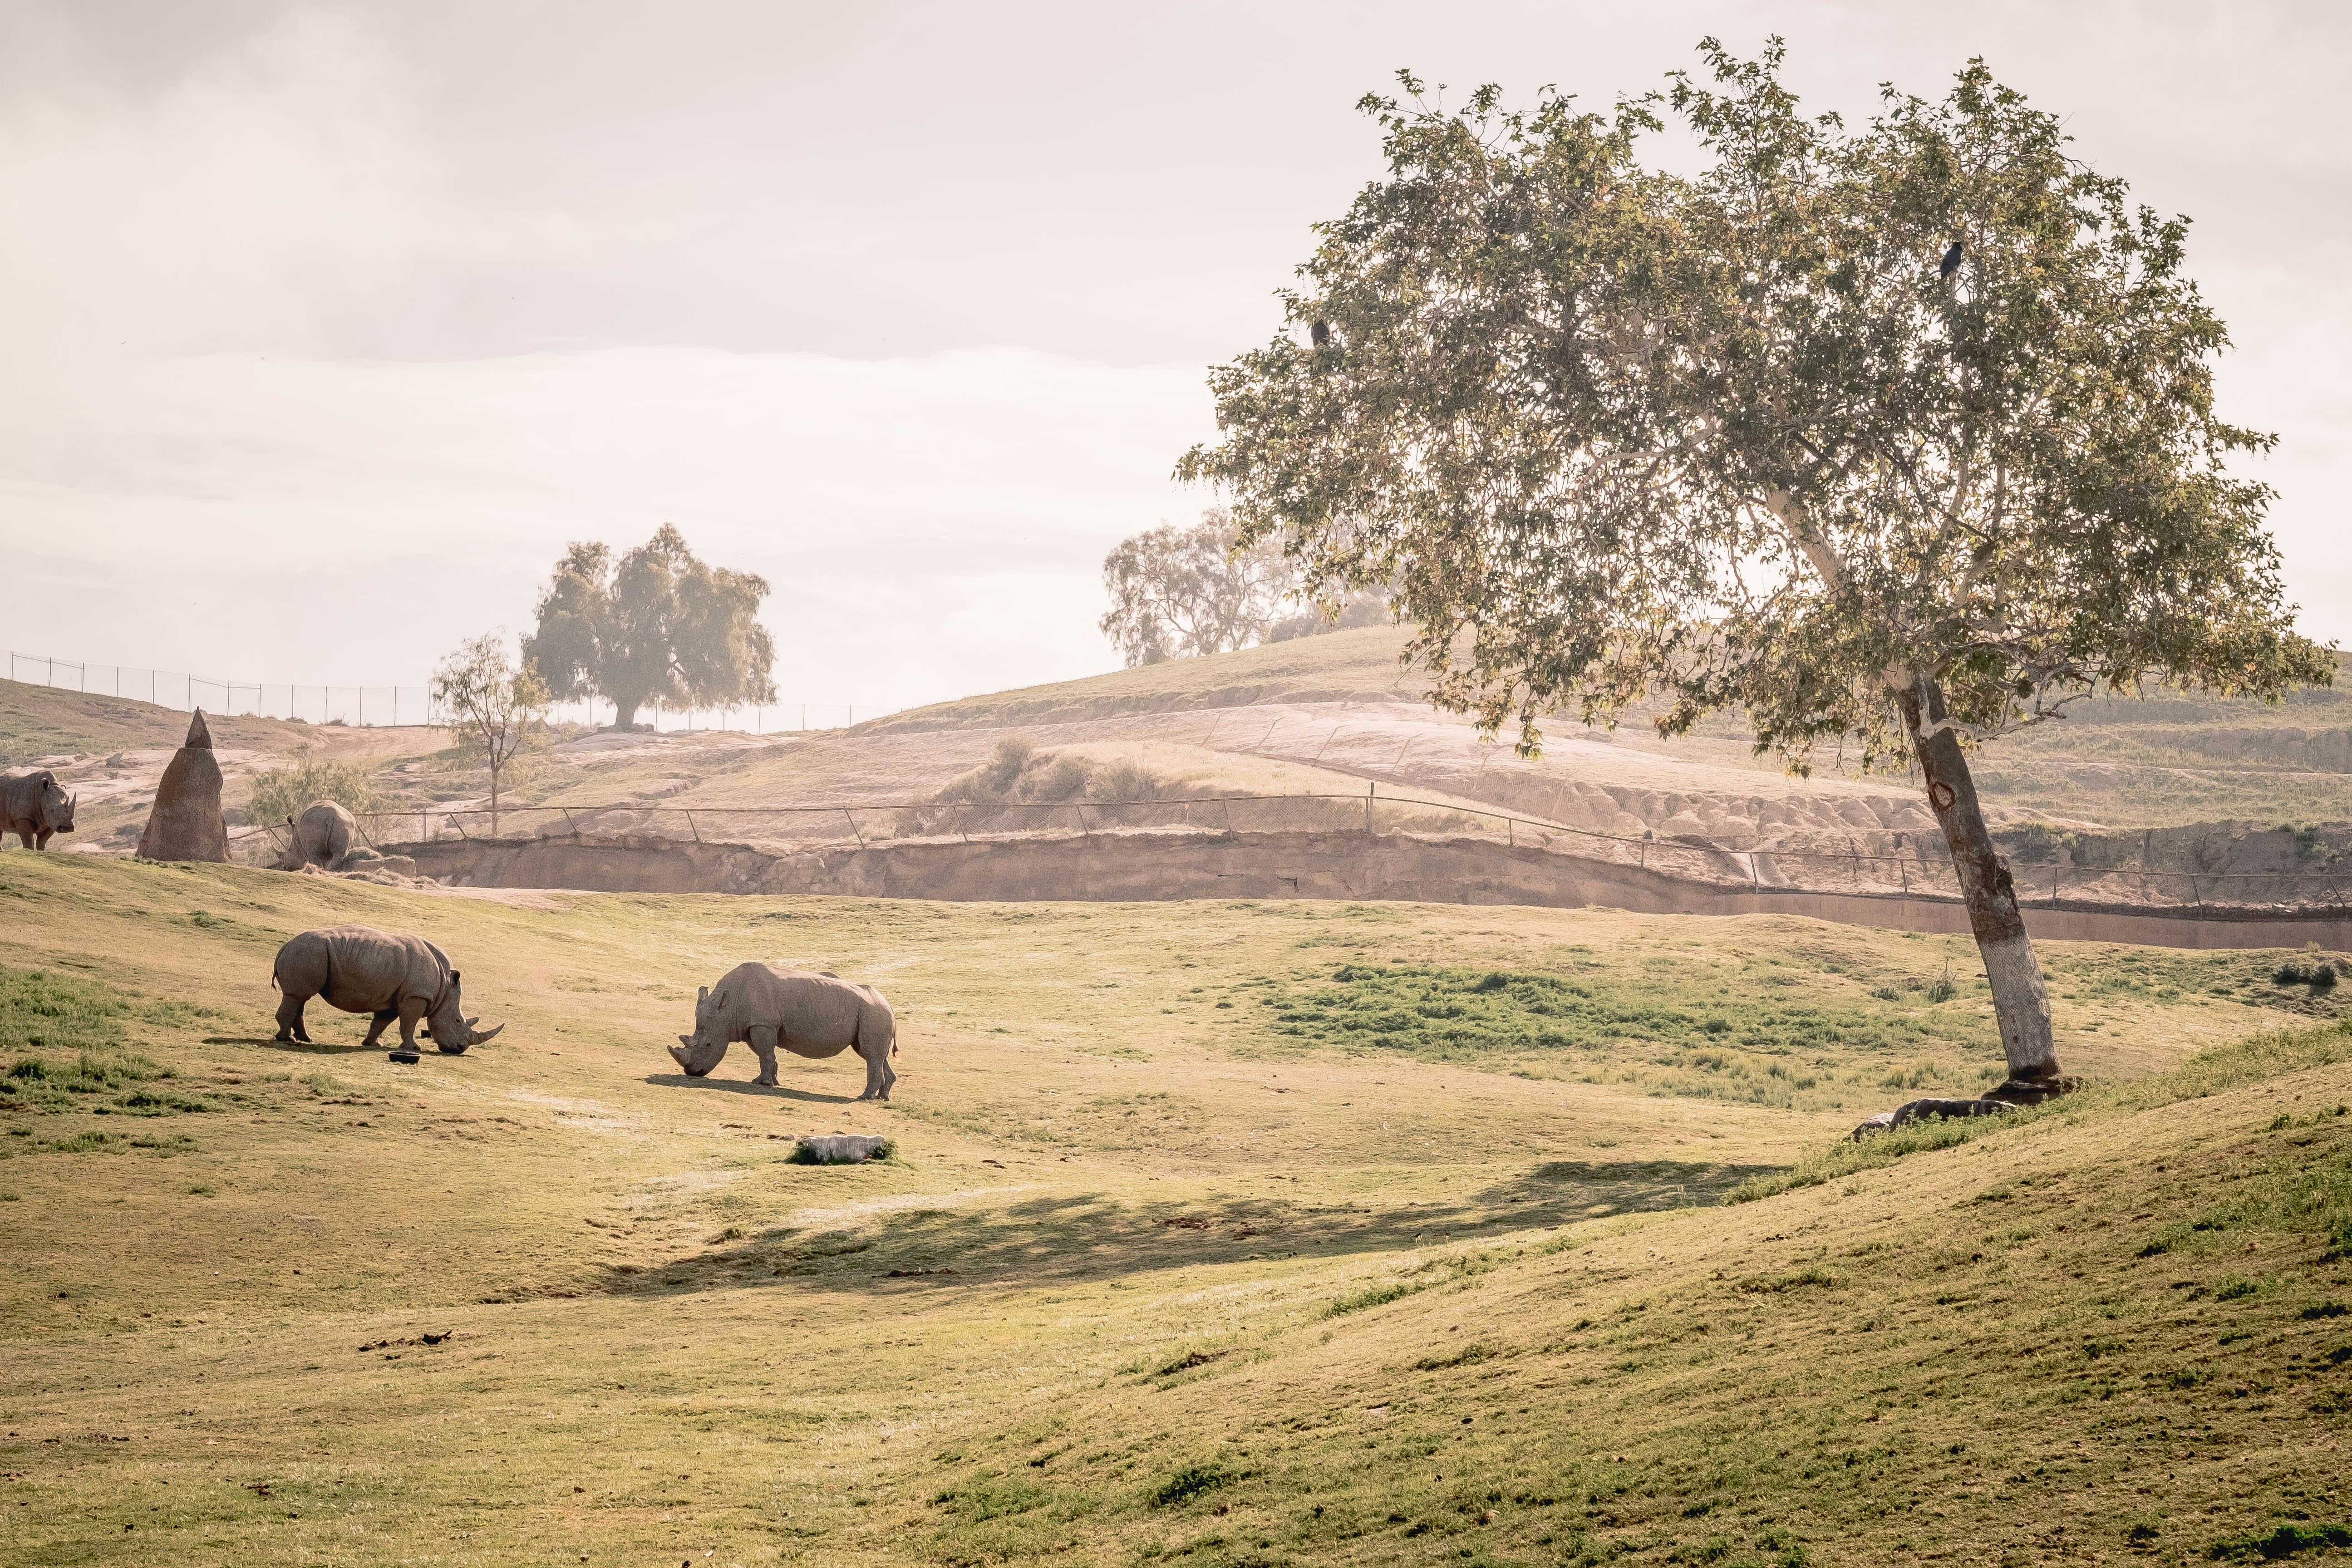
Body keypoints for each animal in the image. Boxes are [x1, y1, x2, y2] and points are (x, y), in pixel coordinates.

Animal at [2, 770, 76, 849]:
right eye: (52, 811)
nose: (67, 828)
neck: (41, 794)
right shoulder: (22, 817)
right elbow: (28, 841)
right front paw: (29, 850)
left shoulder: (51, 822)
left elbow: (42, 841)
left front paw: (41, 851)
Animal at [271, 800, 357, 871]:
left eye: (289, 850)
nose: (285, 867)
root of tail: (330, 816)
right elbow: (325, 862)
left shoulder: (303, 848)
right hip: (343, 824)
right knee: (339, 853)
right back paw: (332, 871)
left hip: (314, 823)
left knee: (314, 854)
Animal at [271, 924, 505, 1061]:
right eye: (458, 1021)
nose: (459, 1049)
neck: (445, 989)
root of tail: (285, 946)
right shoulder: (417, 995)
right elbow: (408, 1024)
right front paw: (414, 1049)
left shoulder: (396, 997)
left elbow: (381, 1022)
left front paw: (373, 1044)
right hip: (308, 952)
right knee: (297, 996)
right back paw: (287, 1040)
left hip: (309, 953)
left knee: (300, 998)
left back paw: (305, 1039)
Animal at [670, 963, 898, 1101]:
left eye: (709, 1045)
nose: (693, 1073)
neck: (726, 1009)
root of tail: (889, 1005)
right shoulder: (755, 1026)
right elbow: (766, 1054)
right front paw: (770, 1082)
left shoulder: (763, 1024)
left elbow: (766, 1054)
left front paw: (764, 1084)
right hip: (873, 1013)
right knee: (875, 1056)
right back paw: (882, 1098)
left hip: (873, 1012)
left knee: (870, 1055)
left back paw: (865, 1098)